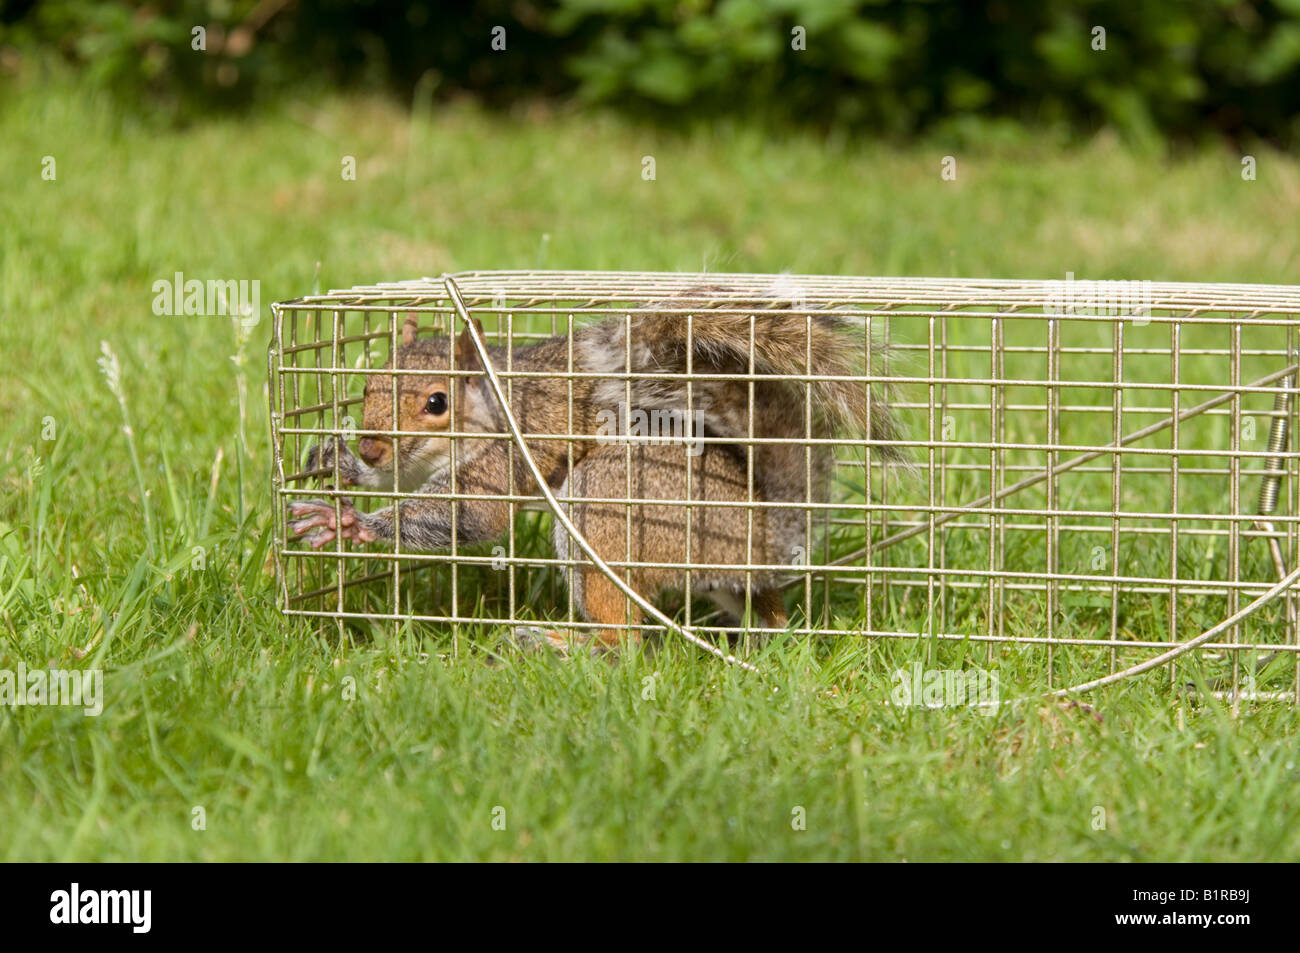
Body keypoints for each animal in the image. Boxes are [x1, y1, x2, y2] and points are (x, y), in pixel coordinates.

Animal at [286, 291, 903, 652]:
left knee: (624, 641)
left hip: (605, 508)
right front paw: (337, 463)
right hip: (722, 578)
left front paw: (352, 522)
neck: (489, 403)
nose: (370, 447)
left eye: (436, 402)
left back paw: (563, 645)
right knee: (762, 612)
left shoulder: (508, 456)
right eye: (367, 386)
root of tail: (764, 533)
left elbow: (473, 517)